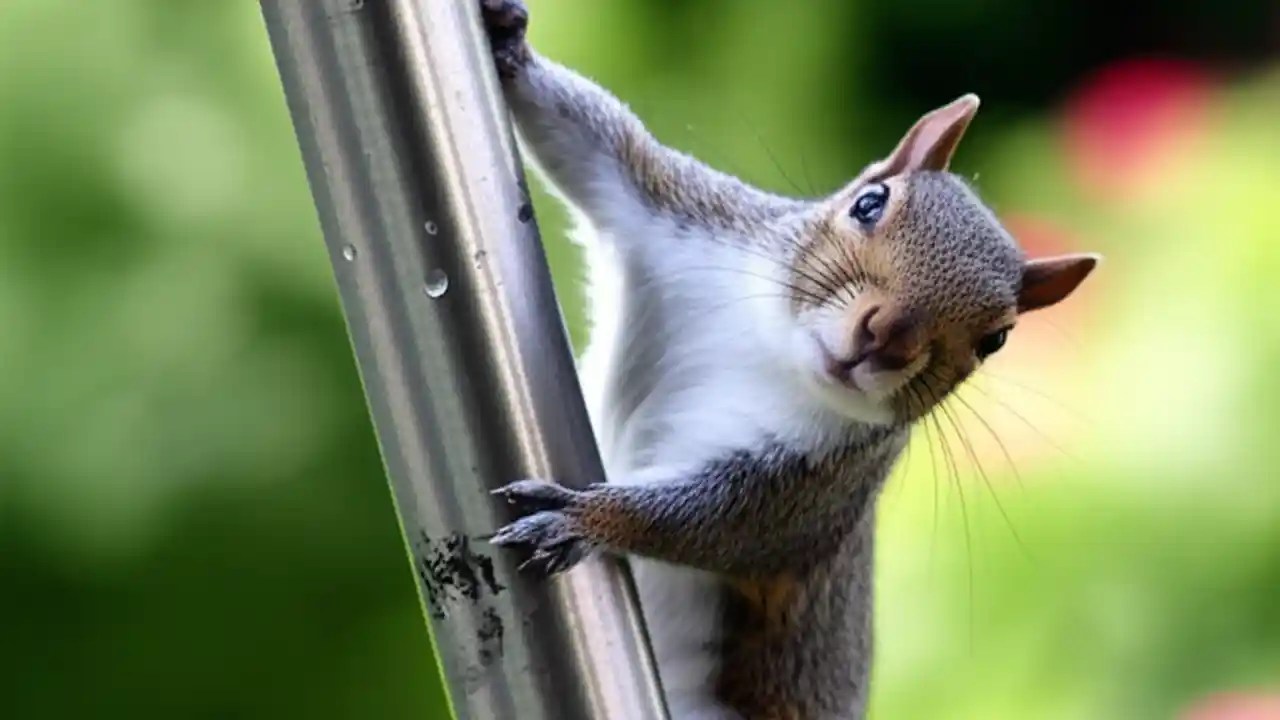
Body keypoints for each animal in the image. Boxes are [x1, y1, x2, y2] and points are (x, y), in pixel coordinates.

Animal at [479, 2, 1099, 718]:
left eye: (995, 339)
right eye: (869, 202)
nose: (886, 338)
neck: (774, 345)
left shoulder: (817, 481)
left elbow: (720, 525)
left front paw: (585, 518)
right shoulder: (687, 213)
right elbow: (594, 142)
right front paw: (510, 43)